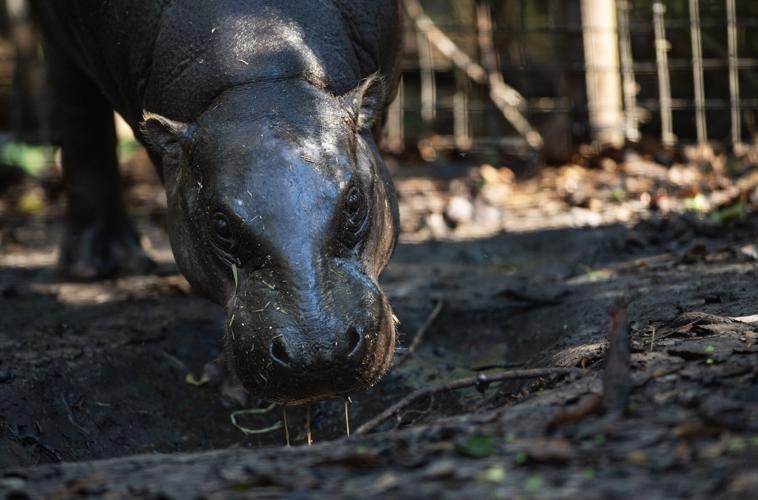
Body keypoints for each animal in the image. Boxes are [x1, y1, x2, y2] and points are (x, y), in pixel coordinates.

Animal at [31, 0, 402, 404]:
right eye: (221, 225)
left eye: (354, 202)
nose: (317, 353)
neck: (260, 70)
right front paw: (232, 391)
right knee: (81, 121)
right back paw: (98, 264)